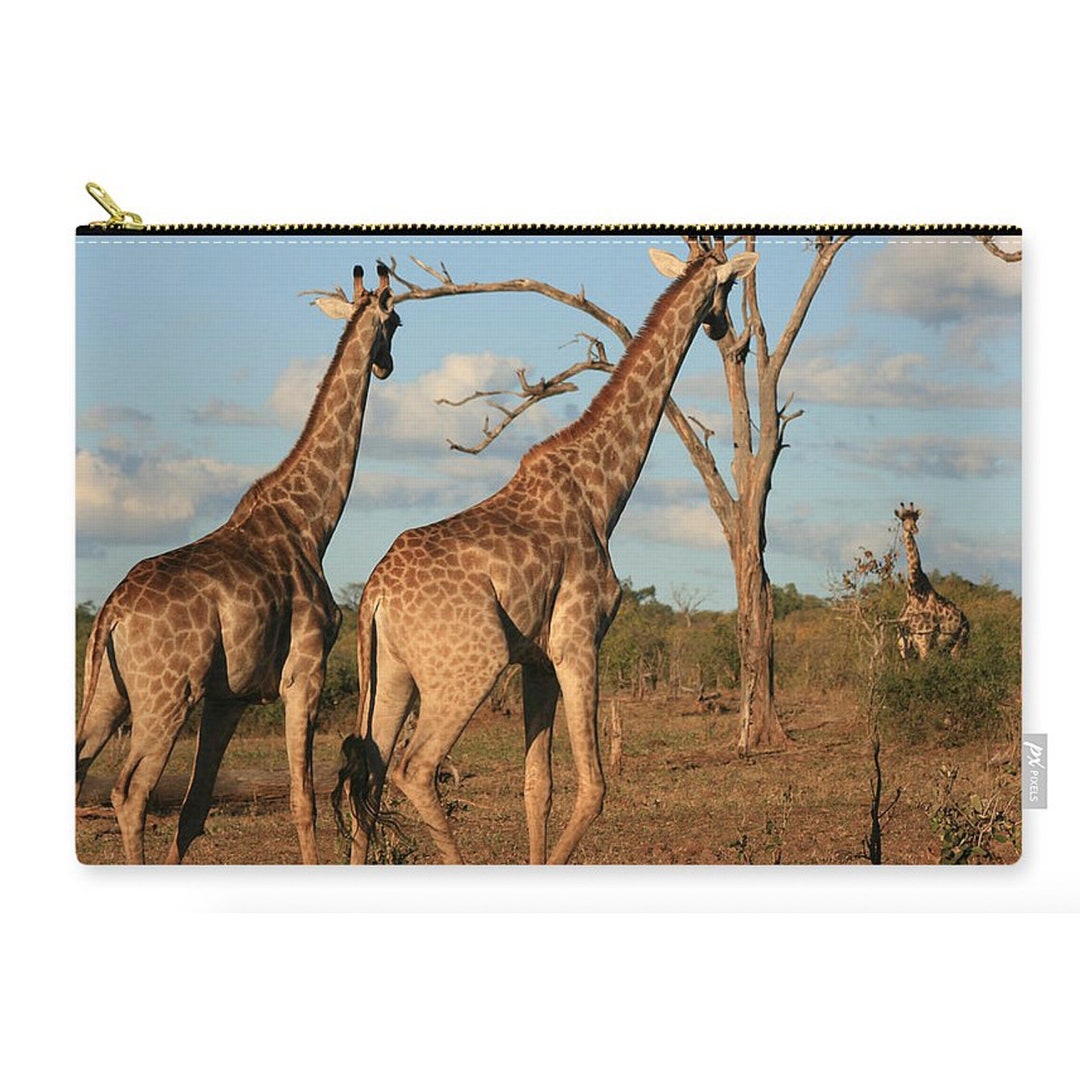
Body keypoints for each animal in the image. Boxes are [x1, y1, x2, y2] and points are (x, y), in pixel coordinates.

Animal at [76, 264, 400, 864]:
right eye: (397, 322)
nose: (386, 364)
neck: (312, 521)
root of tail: (111, 613)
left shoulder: (229, 697)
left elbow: (194, 809)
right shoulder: (305, 672)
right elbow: (303, 798)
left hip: (110, 694)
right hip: (164, 698)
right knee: (129, 791)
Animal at [332, 240, 758, 865]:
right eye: (728, 286)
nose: (722, 327)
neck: (602, 492)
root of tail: (374, 595)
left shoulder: (535, 660)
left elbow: (538, 787)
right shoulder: (576, 641)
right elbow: (595, 788)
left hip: (393, 673)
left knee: (371, 770)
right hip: (469, 668)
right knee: (414, 768)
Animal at [894, 503, 970, 660]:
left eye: (916, 518)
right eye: (903, 519)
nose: (914, 529)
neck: (913, 591)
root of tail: (967, 622)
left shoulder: (924, 640)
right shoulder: (903, 642)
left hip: (960, 645)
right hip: (949, 646)